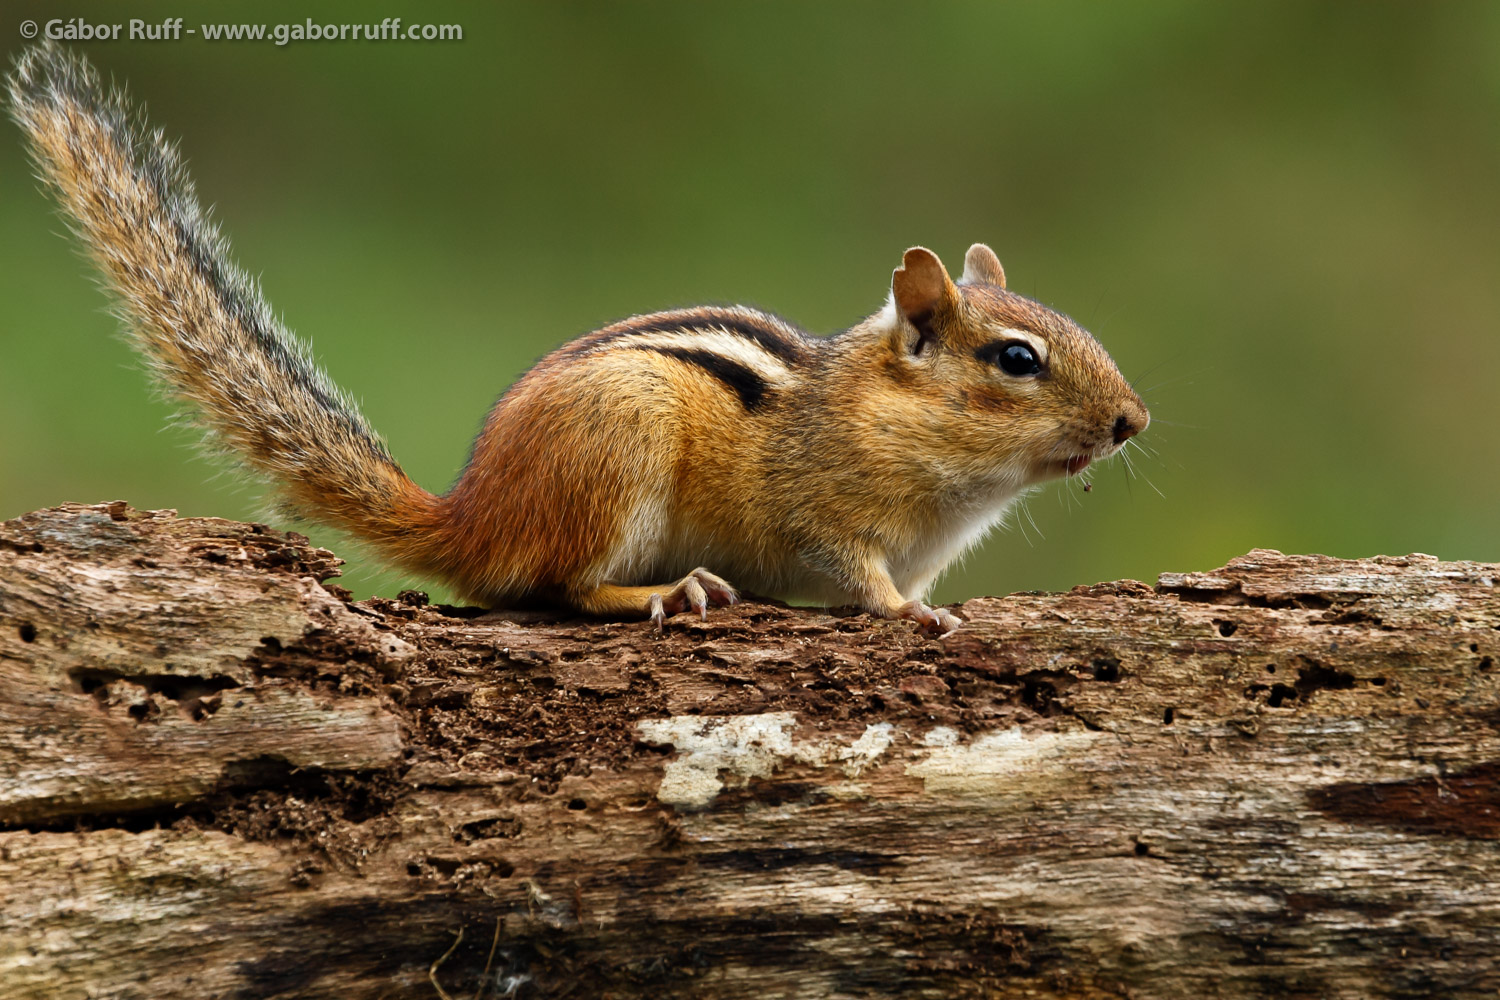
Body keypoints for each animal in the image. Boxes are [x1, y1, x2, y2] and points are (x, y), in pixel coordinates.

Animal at [8, 44, 1148, 637]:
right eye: (1016, 359)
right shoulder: (824, 512)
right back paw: (669, 588)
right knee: (559, 586)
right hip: (616, 454)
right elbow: (856, 576)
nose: (1134, 420)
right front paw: (909, 619)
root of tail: (469, 516)